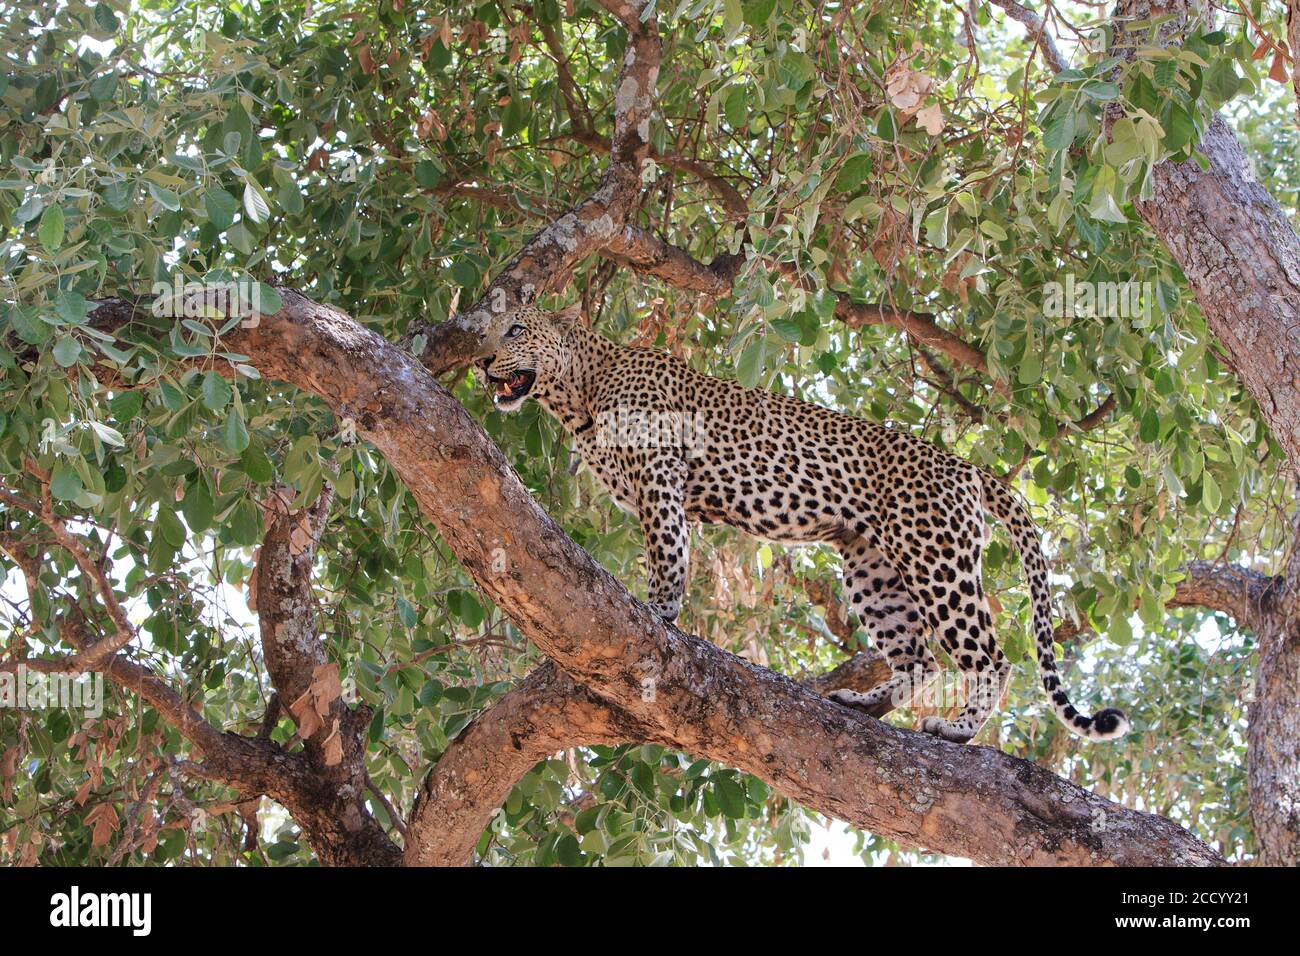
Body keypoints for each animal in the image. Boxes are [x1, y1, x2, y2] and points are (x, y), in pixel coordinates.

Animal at [477, 304, 1129, 744]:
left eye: (515, 330)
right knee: (918, 658)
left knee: (990, 656)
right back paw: (862, 703)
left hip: (936, 559)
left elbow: (666, 552)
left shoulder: (660, 476)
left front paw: (659, 610)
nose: (481, 360)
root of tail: (965, 465)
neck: (577, 394)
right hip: (873, 568)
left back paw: (959, 728)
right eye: (487, 331)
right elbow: (674, 548)